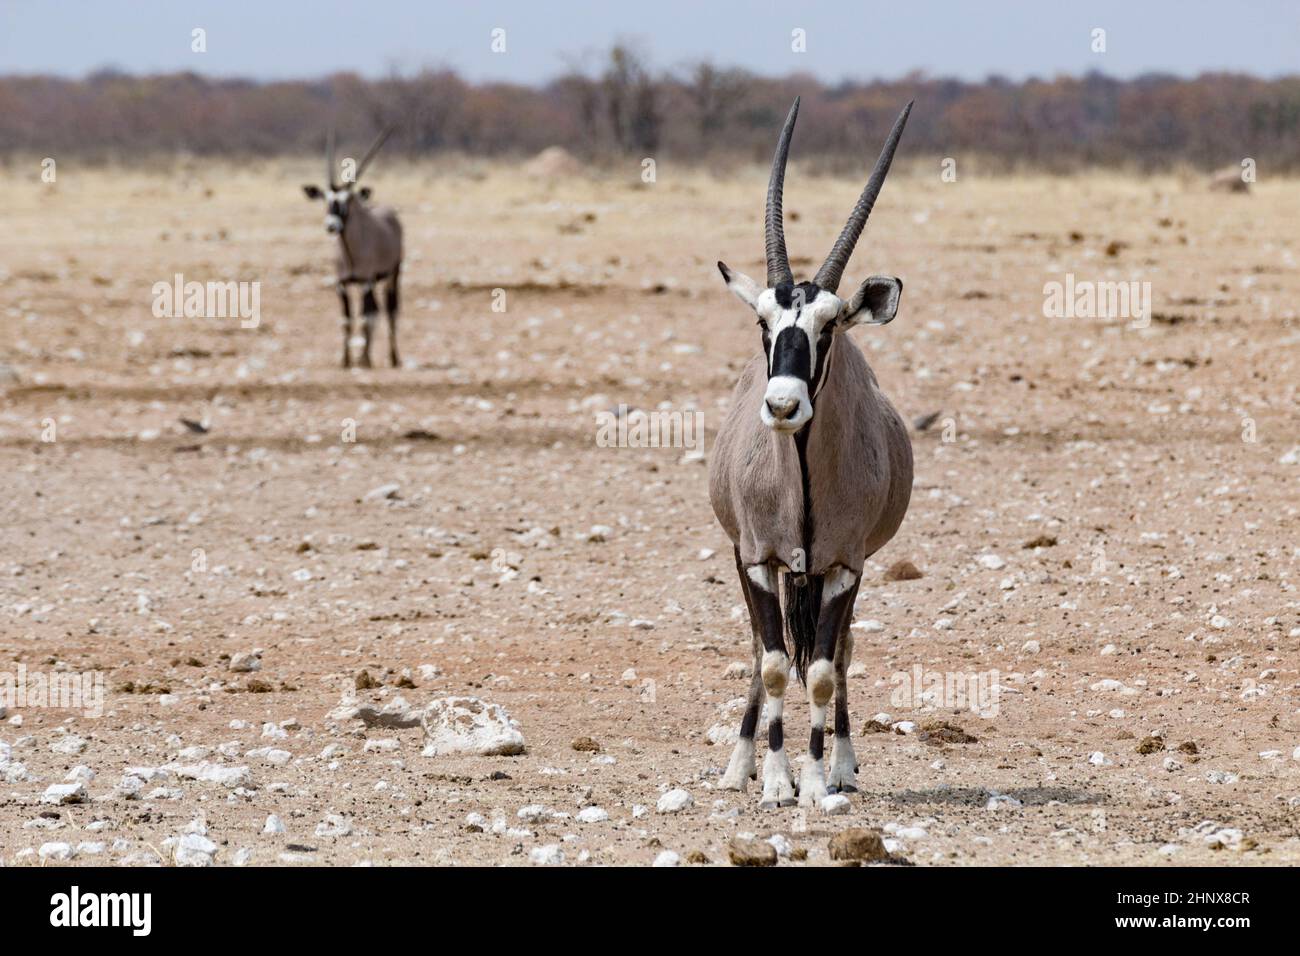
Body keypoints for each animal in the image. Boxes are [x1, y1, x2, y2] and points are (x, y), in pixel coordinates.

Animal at [303, 128, 404, 368]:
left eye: (347, 200)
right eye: (325, 199)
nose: (332, 226)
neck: (350, 255)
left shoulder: (366, 281)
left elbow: (365, 318)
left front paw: (364, 360)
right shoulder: (341, 284)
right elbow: (347, 320)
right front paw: (346, 360)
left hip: (392, 274)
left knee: (389, 311)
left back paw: (393, 358)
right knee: (376, 310)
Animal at [710, 98, 914, 809]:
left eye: (829, 326)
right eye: (763, 322)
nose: (782, 407)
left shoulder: (845, 566)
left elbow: (824, 669)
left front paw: (819, 777)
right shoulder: (756, 558)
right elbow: (773, 663)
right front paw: (774, 780)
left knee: (843, 652)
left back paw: (844, 765)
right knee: (758, 650)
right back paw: (740, 763)